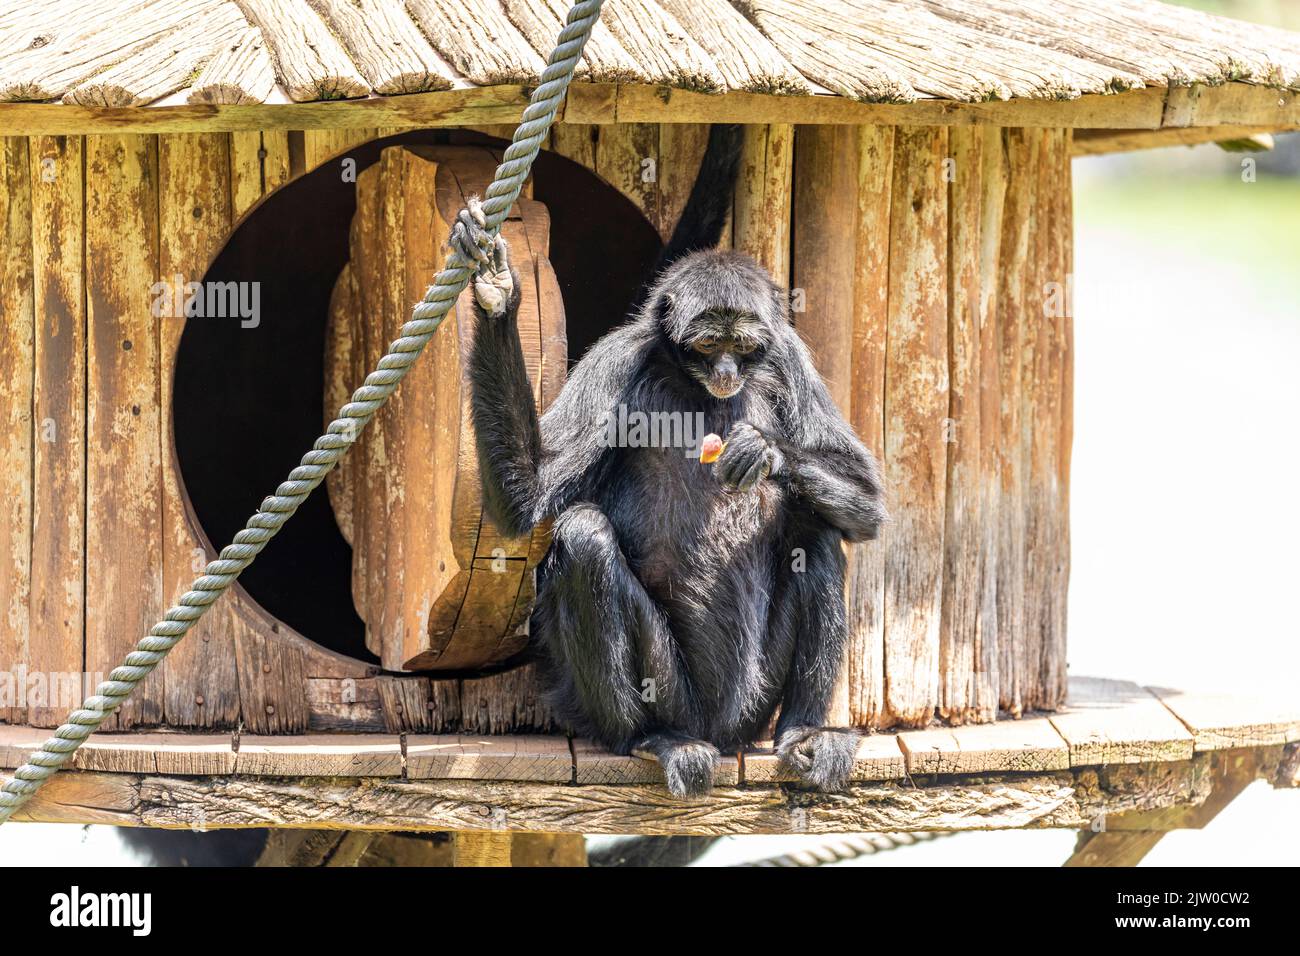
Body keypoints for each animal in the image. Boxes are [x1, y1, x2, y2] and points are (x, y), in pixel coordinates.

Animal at [451, 125, 886, 797]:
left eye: (744, 344)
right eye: (708, 344)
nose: (728, 371)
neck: (696, 386)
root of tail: (720, 727)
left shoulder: (787, 355)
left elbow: (865, 502)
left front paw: (764, 453)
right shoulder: (620, 355)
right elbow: (528, 495)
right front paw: (496, 293)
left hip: (757, 698)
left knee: (815, 529)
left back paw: (806, 733)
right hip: (664, 688)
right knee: (584, 536)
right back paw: (652, 739)